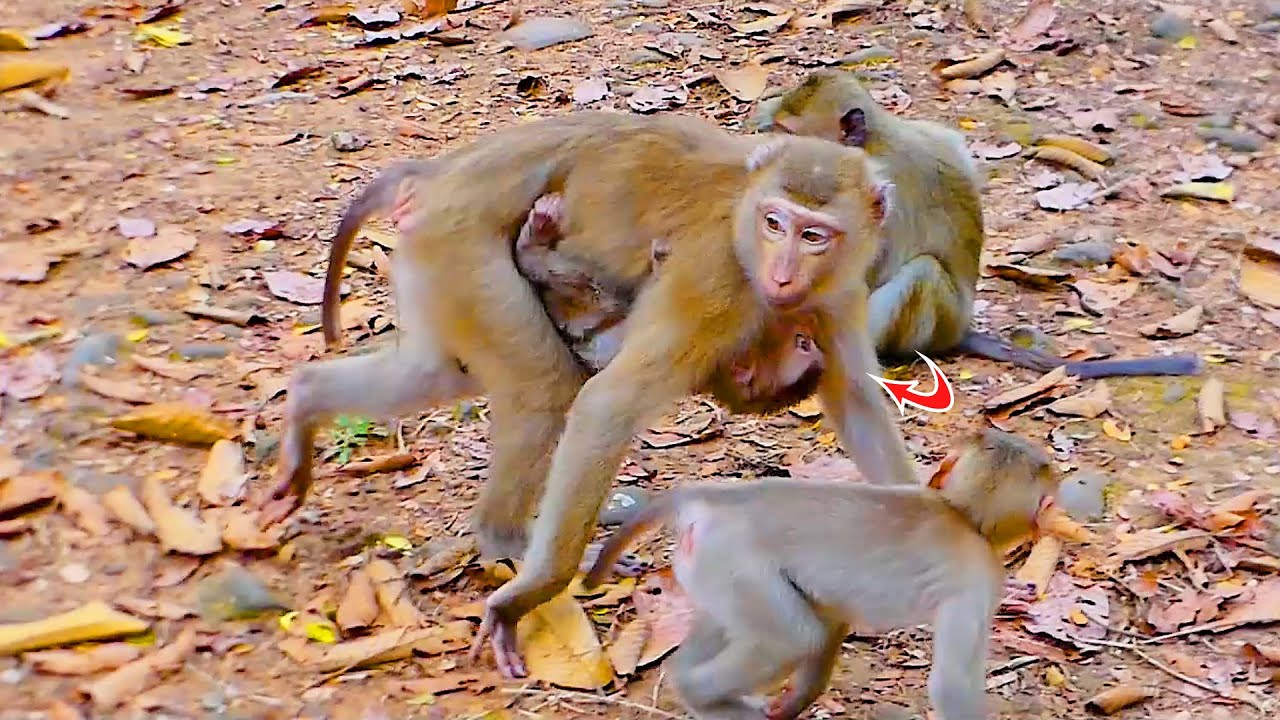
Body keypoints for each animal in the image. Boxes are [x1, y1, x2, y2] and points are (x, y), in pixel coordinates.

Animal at [265, 111, 916, 678]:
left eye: (815, 235)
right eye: (774, 223)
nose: (782, 274)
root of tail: (440, 173)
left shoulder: (837, 292)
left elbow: (857, 403)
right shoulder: (718, 283)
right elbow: (608, 404)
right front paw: (529, 594)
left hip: (435, 265)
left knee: (435, 372)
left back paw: (305, 398)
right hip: (462, 247)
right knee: (544, 385)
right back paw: (504, 539)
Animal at [583, 428, 1059, 720]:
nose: (1051, 511)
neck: (961, 514)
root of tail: (716, 498)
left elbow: (831, 620)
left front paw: (796, 702)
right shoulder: (981, 577)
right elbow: (953, 686)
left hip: (713, 566)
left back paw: (687, 680)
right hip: (737, 560)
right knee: (790, 639)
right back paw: (701, 695)